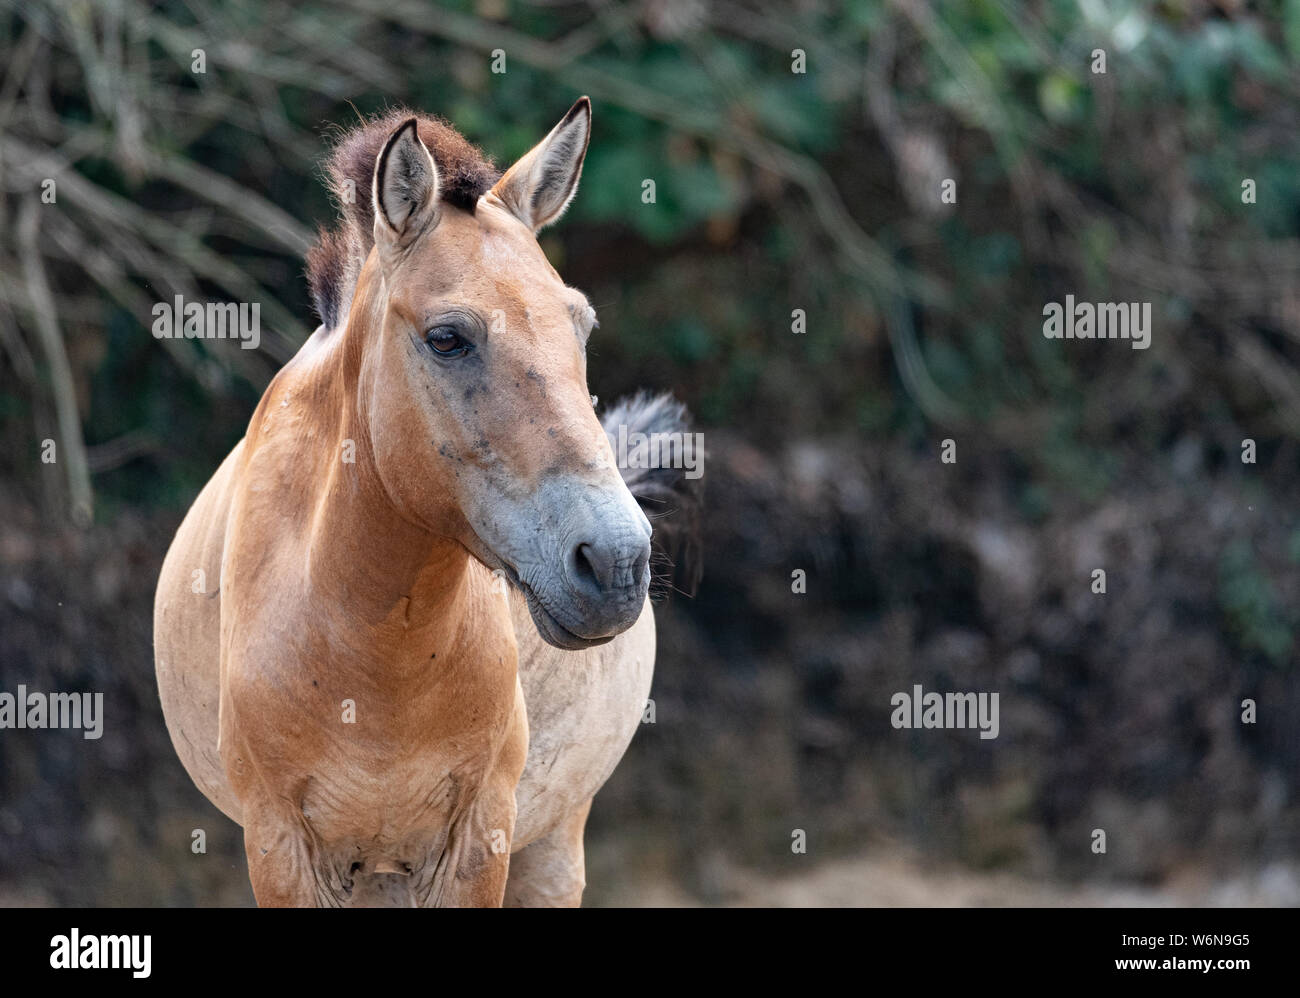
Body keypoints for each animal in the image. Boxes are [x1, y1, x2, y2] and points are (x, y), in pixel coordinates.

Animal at [153, 98, 699, 906]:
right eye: (447, 338)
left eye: (581, 325)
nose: (615, 562)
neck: (376, 659)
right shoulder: (280, 848)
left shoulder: (480, 841)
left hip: (553, 845)